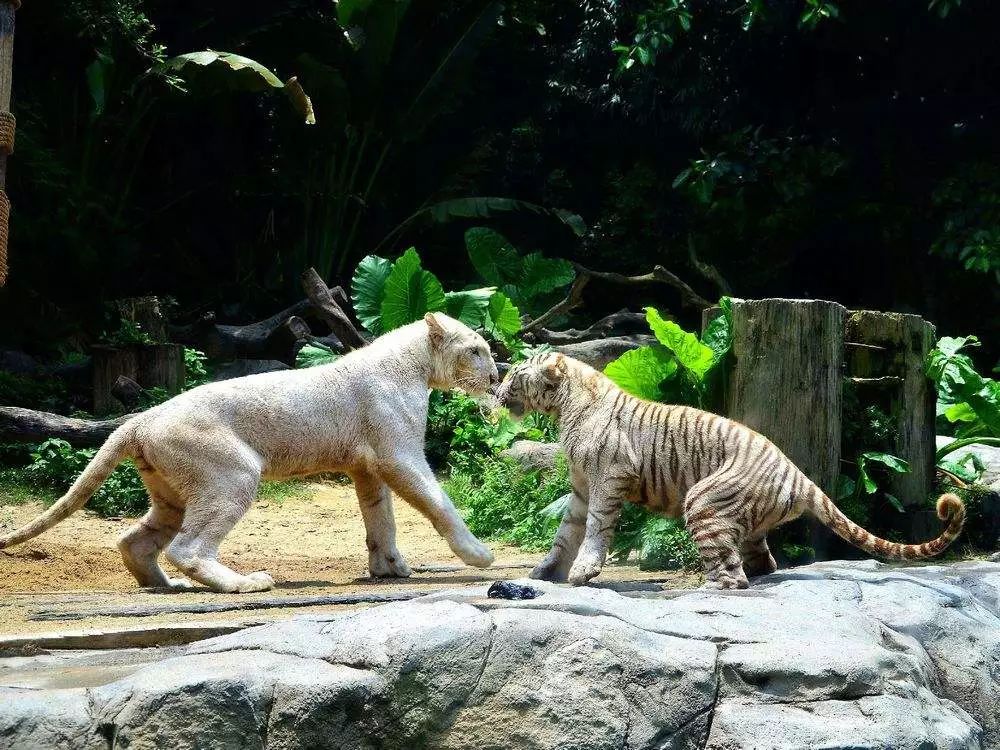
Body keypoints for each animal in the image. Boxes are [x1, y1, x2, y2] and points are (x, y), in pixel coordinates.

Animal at [0, 312, 500, 592]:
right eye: (477, 349)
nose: (496, 377)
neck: (417, 367)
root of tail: (139, 420)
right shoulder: (398, 455)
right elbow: (438, 502)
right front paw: (479, 554)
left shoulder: (367, 464)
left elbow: (380, 517)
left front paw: (390, 567)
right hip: (231, 474)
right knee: (187, 547)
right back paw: (245, 583)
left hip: (172, 492)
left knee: (136, 540)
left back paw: (167, 586)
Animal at [496, 350, 964, 592]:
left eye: (515, 375)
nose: (497, 392)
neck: (564, 406)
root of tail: (797, 474)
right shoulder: (580, 486)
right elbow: (566, 532)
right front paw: (545, 571)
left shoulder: (609, 478)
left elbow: (594, 528)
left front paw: (582, 572)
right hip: (744, 519)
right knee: (762, 562)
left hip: (703, 499)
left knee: (733, 576)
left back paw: (705, 588)